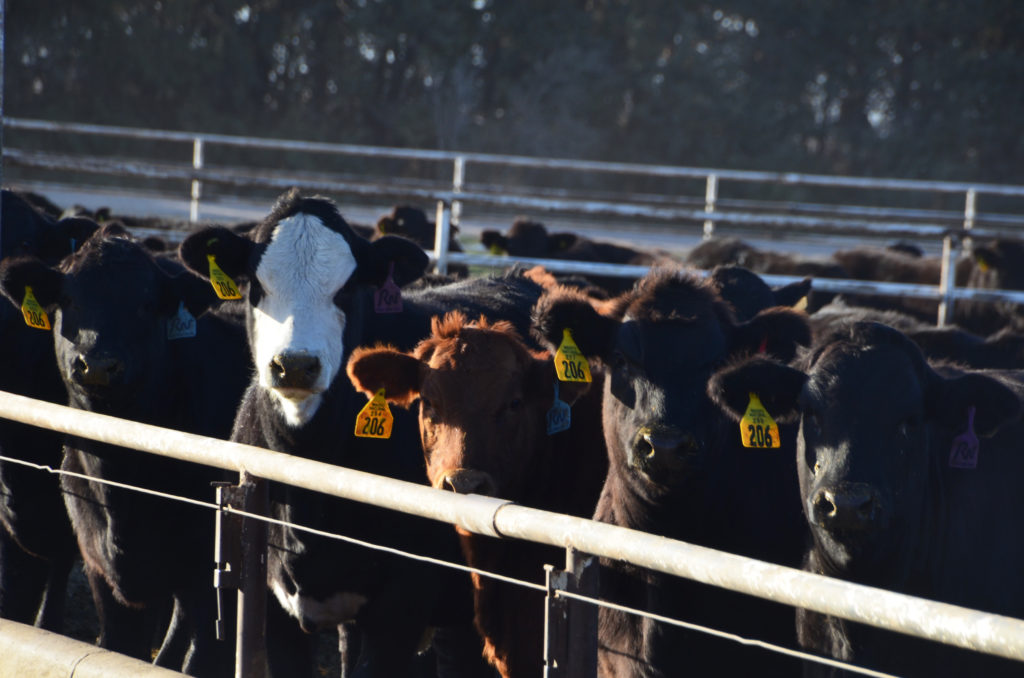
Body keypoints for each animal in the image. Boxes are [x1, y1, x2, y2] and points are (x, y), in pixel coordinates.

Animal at [0, 224, 251, 676]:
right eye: (69, 300)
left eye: (146, 305)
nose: (98, 364)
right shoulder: (103, 574)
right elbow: (120, 648)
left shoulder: (215, 584)